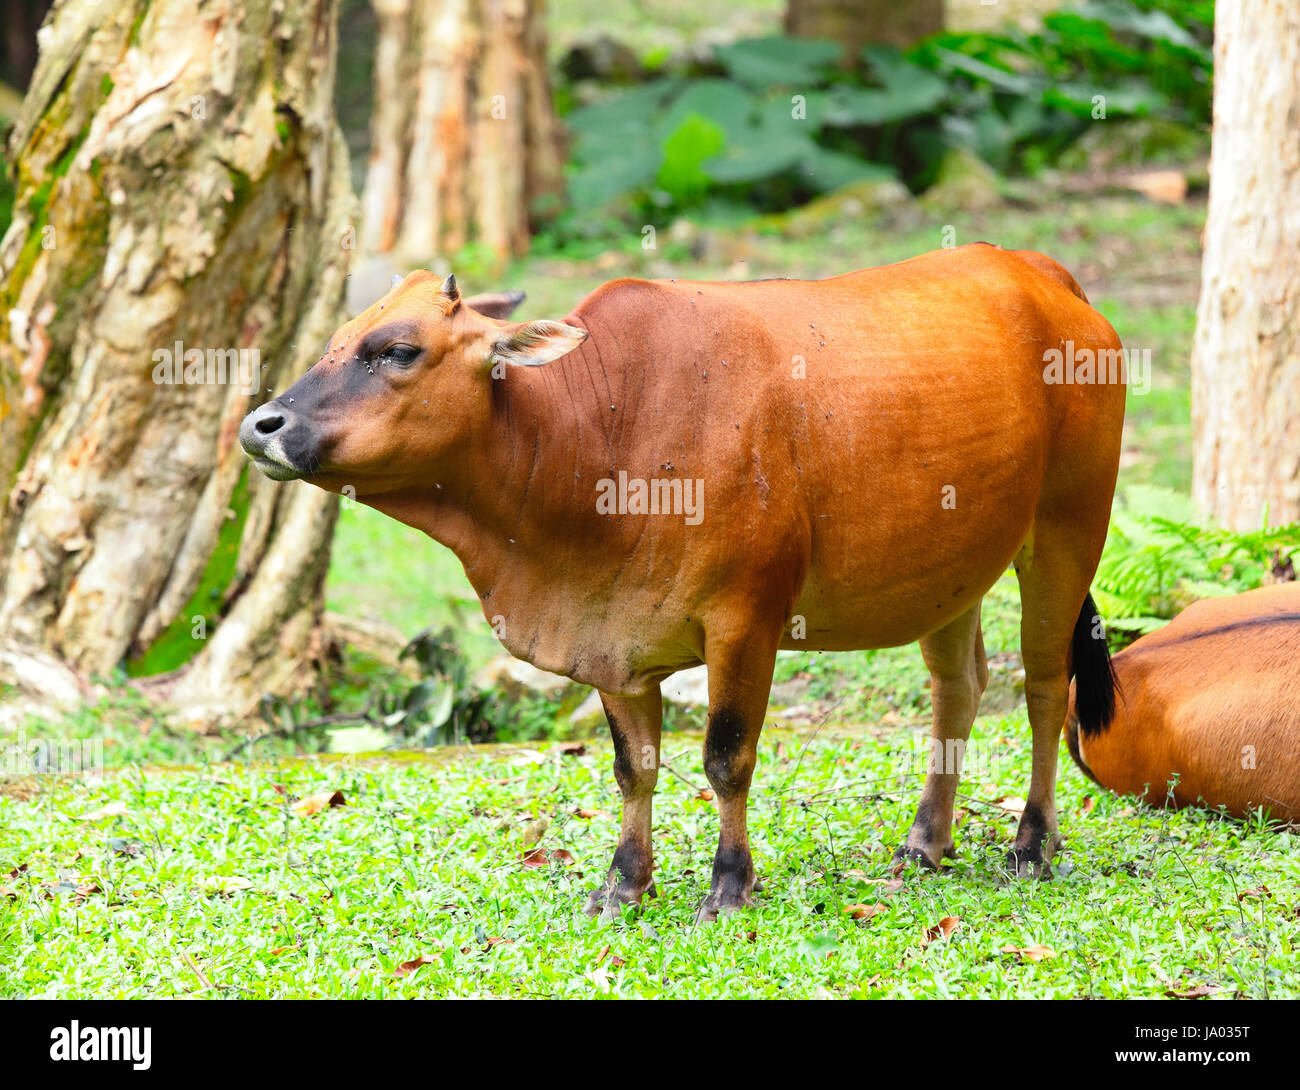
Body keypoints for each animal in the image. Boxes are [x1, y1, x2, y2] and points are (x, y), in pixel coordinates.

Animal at [240, 244, 1126, 921]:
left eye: (397, 350)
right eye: (338, 337)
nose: (260, 425)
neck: (602, 435)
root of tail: (1042, 271)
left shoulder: (745, 621)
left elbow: (726, 758)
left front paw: (728, 886)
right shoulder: (610, 641)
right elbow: (635, 767)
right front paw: (621, 885)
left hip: (1066, 529)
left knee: (1042, 687)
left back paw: (1032, 842)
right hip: (955, 569)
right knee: (960, 688)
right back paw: (926, 840)